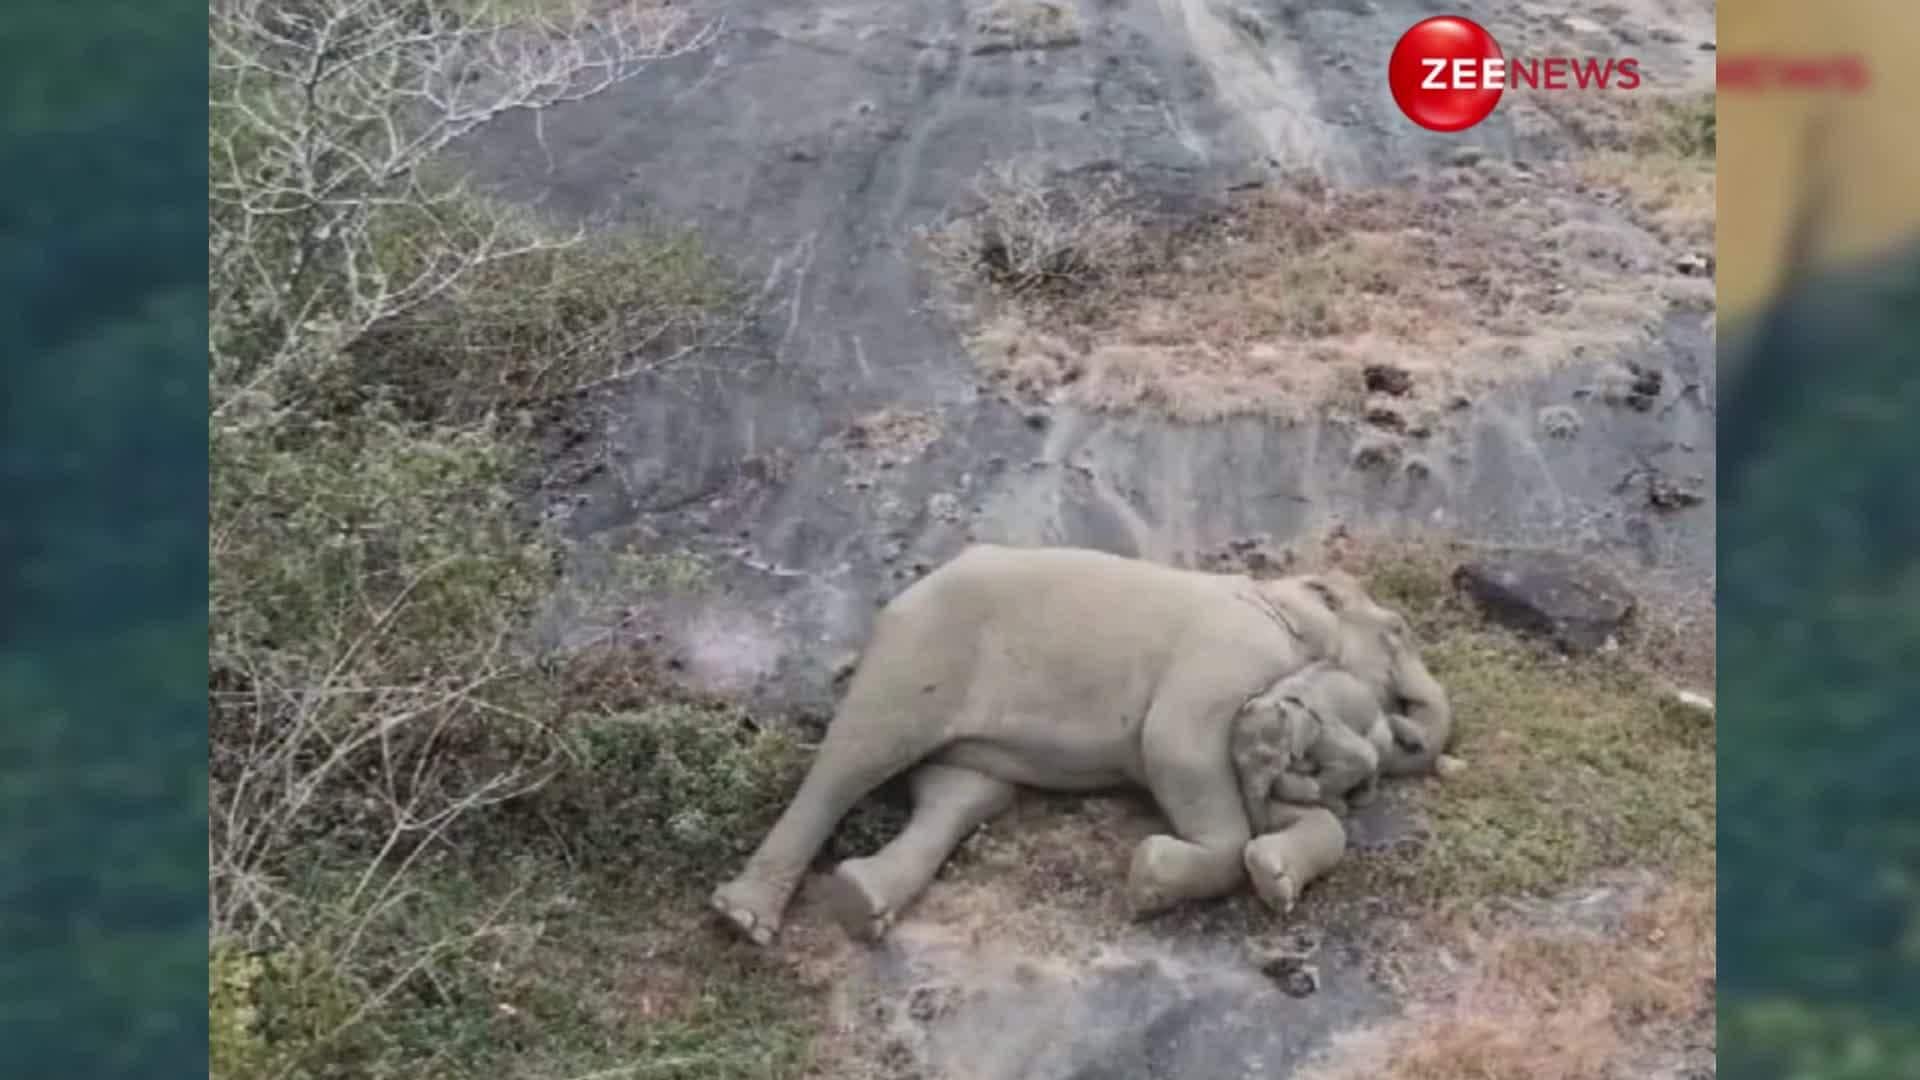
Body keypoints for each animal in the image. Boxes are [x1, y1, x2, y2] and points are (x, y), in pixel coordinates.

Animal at [707, 544, 1453, 946]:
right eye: (1396, 632)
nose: (1414, 736)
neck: (1277, 594)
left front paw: (1276, 870)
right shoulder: (1230, 652)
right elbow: (1176, 745)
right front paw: (1150, 879)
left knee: (961, 795)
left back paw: (861, 901)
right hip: (922, 653)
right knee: (857, 756)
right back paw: (745, 919)